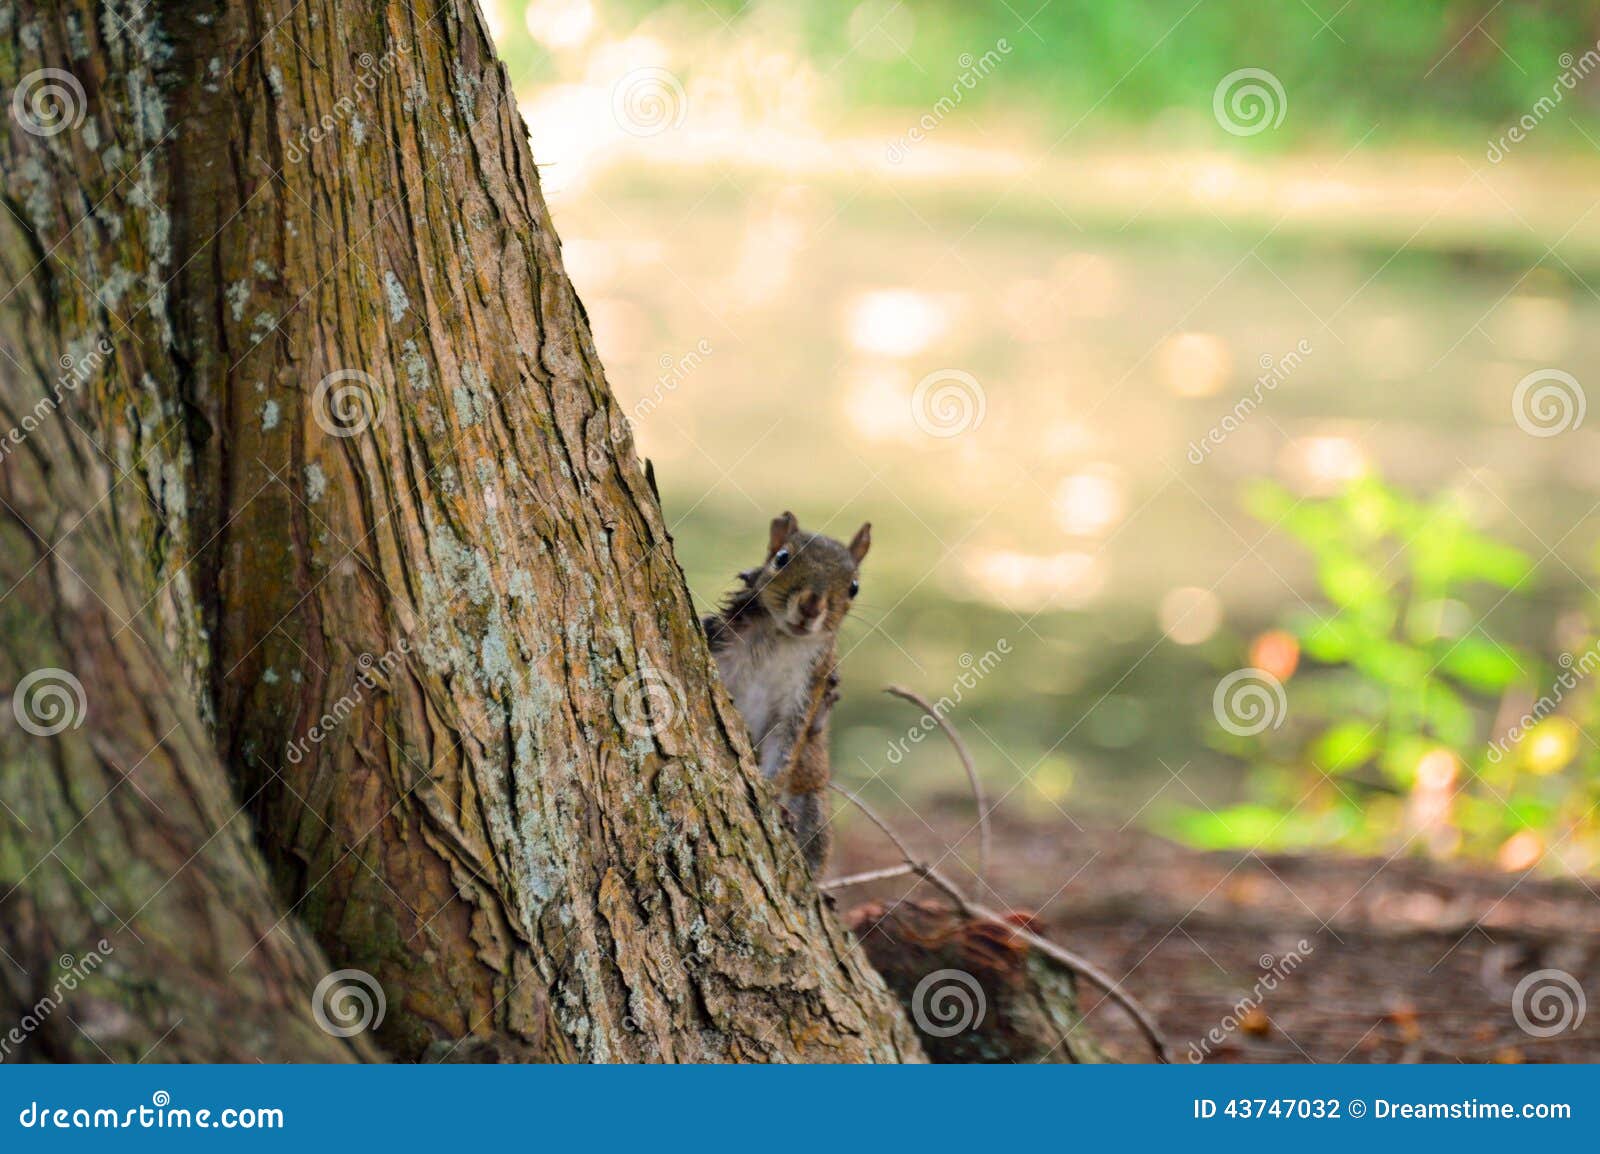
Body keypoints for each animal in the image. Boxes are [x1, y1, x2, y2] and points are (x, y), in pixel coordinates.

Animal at [702, 511, 871, 874]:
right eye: (781, 558)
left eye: (854, 586)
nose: (811, 606)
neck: (780, 640)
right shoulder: (721, 651)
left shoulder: (805, 691)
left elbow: (785, 745)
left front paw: (769, 794)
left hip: (812, 809)